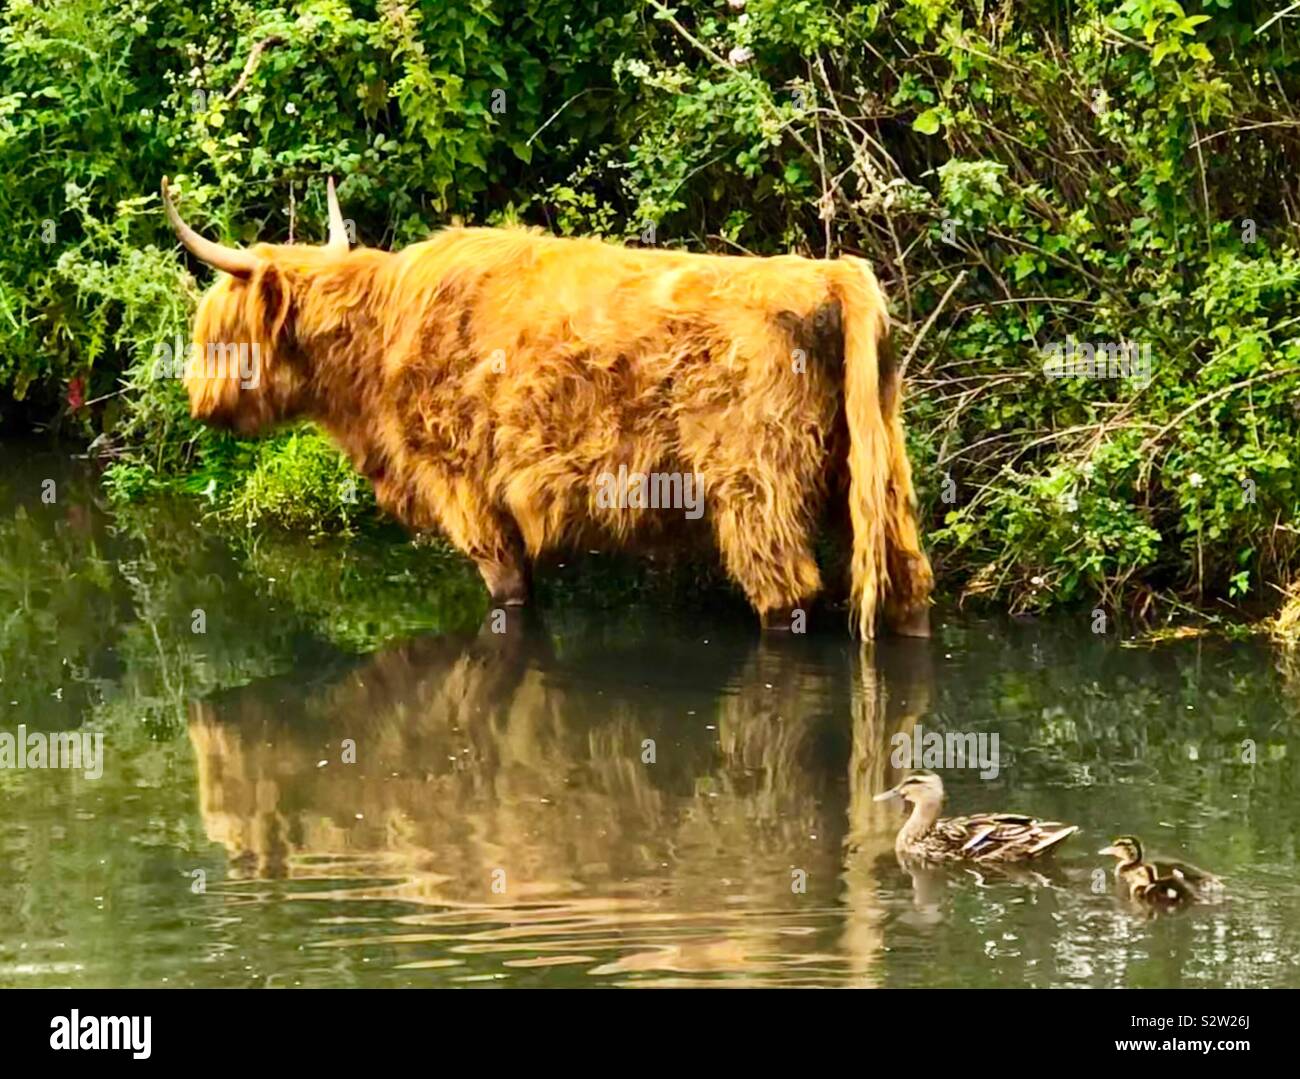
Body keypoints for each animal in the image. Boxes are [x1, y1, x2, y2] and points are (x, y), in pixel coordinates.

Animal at [161, 176, 932, 637]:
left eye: (218, 332)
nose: (195, 398)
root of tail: (830, 272)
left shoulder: (470, 496)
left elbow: (508, 594)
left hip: (755, 491)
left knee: (789, 595)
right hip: (881, 473)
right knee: (907, 582)